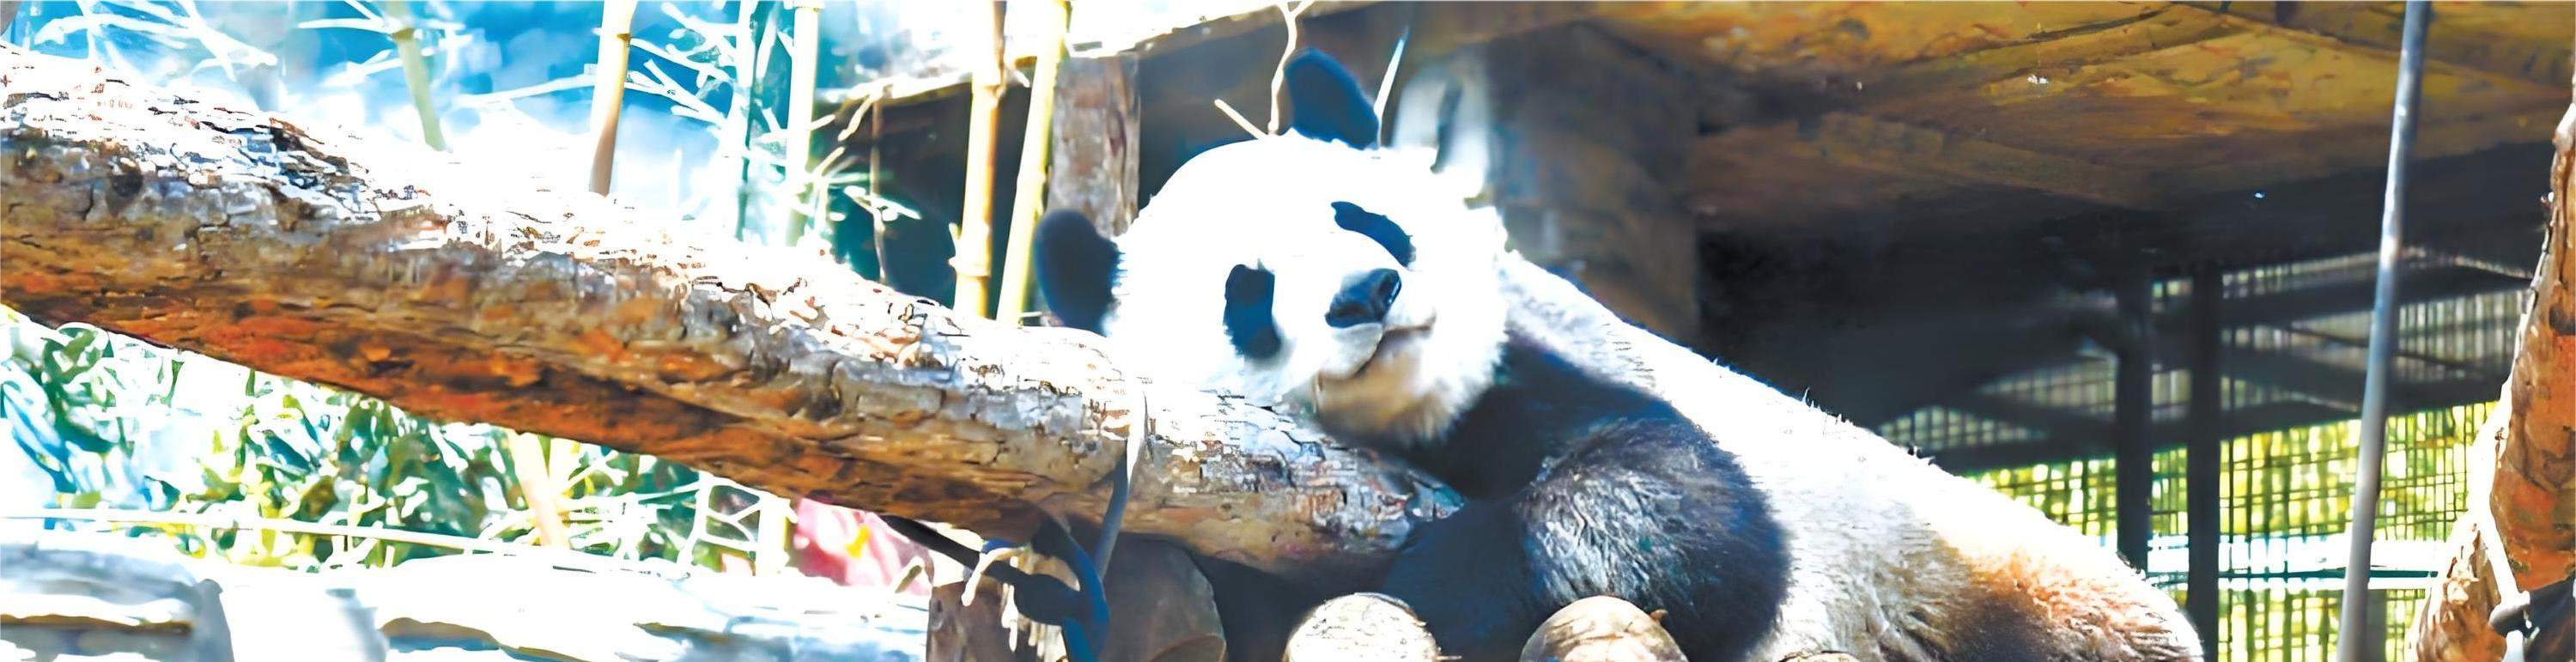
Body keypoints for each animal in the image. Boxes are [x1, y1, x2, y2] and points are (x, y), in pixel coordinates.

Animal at [1035, 50, 2200, 661]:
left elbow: (1696, 513)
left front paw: (1444, 575)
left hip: (1973, 567)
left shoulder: (1545, 376)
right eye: (1250, 293)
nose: (1370, 295)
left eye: (1361, 217)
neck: (1420, 428)